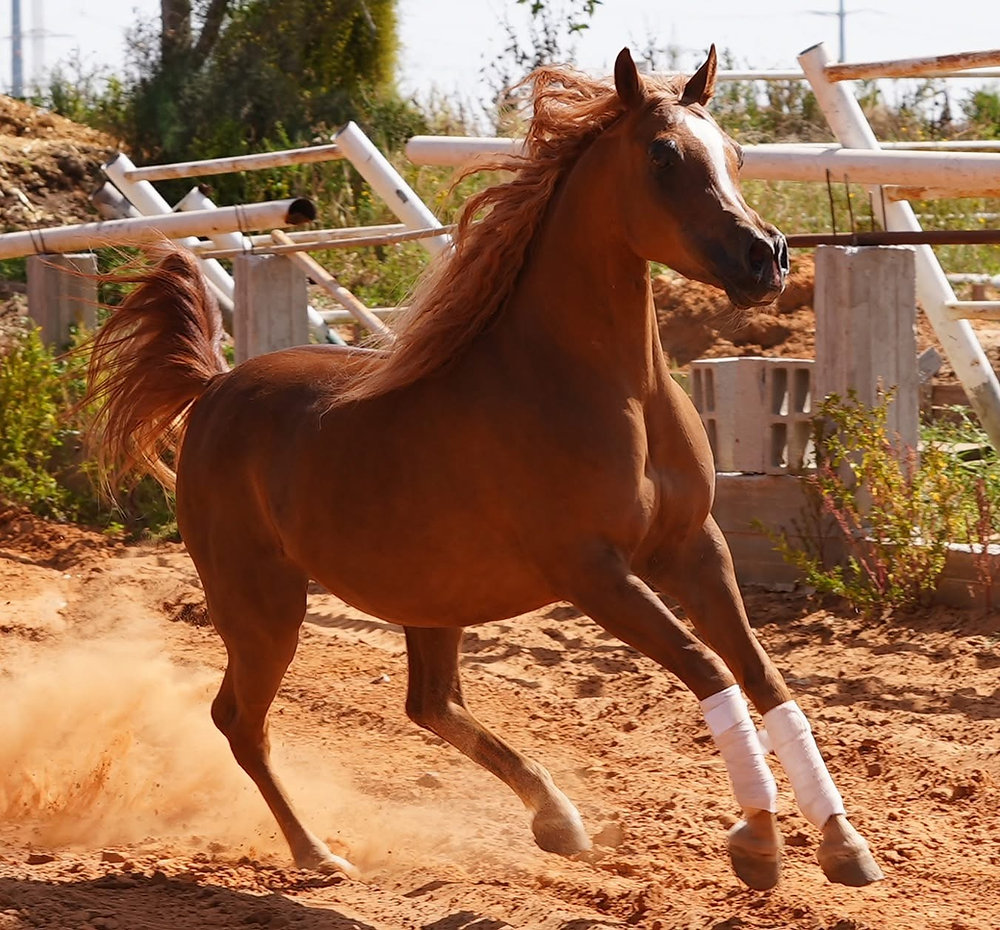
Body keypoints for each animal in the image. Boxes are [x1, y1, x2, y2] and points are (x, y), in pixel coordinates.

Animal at [84, 47, 882, 891]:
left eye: (733, 154)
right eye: (663, 155)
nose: (768, 257)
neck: (603, 388)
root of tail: (212, 388)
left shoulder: (694, 547)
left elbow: (763, 675)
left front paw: (843, 844)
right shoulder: (594, 572)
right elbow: (709, 668)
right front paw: (757, 841)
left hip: (427, 596)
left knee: (428, 703)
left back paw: (557, 819)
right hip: (261, 604)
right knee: (242, 720)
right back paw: (318, 852)